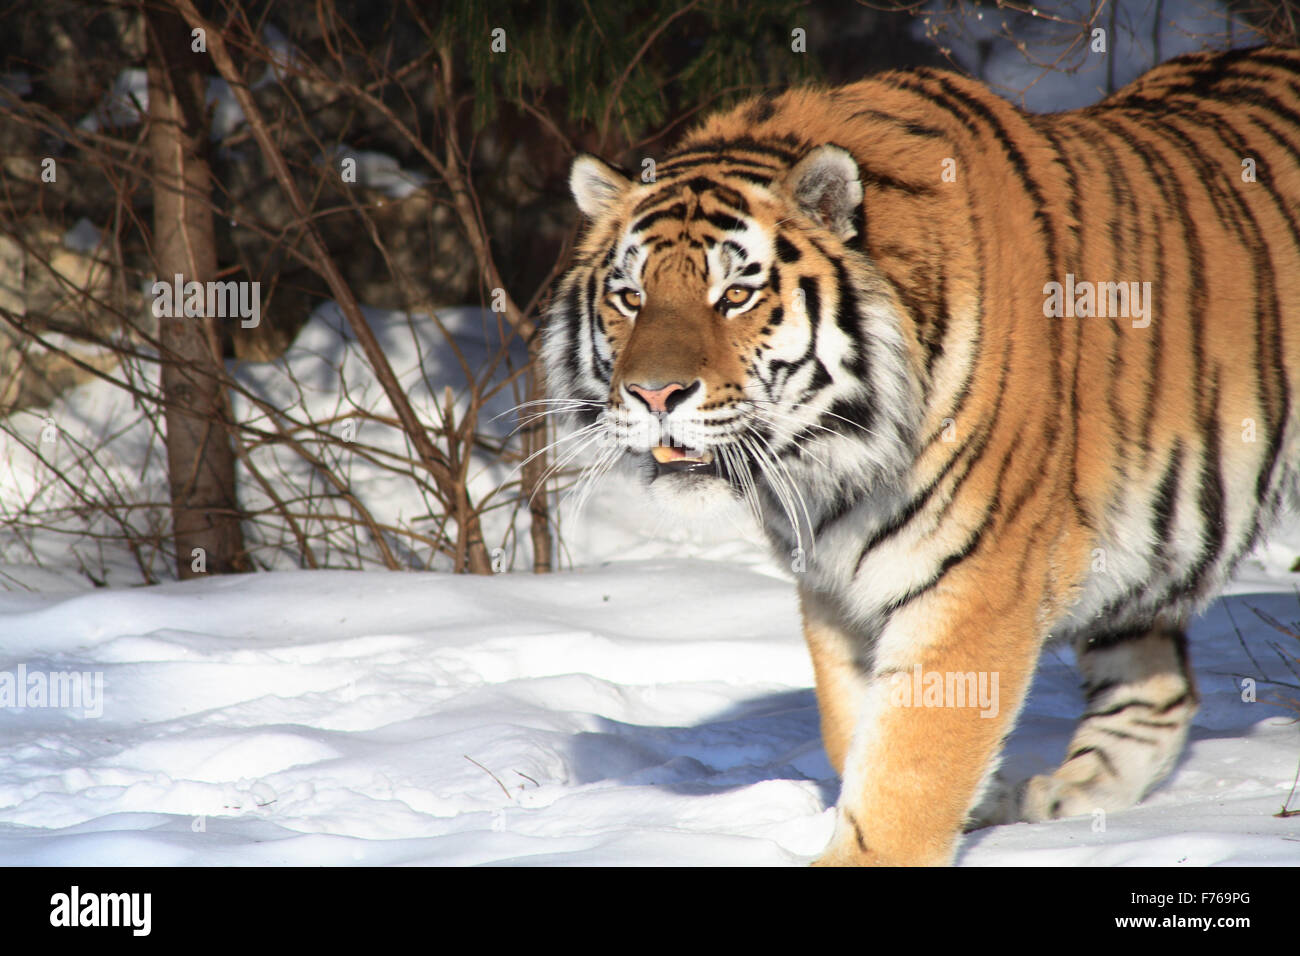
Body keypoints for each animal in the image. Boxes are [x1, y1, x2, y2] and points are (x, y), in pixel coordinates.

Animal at [540, 45, 1300, 866]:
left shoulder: (979, 582)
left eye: (736, 295)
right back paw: (1058, 801)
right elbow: (854, 737)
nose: (655, 393)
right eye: (629, 296)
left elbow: (909, 772)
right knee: (1157, 692)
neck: (829, 461)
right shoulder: (834, 590)